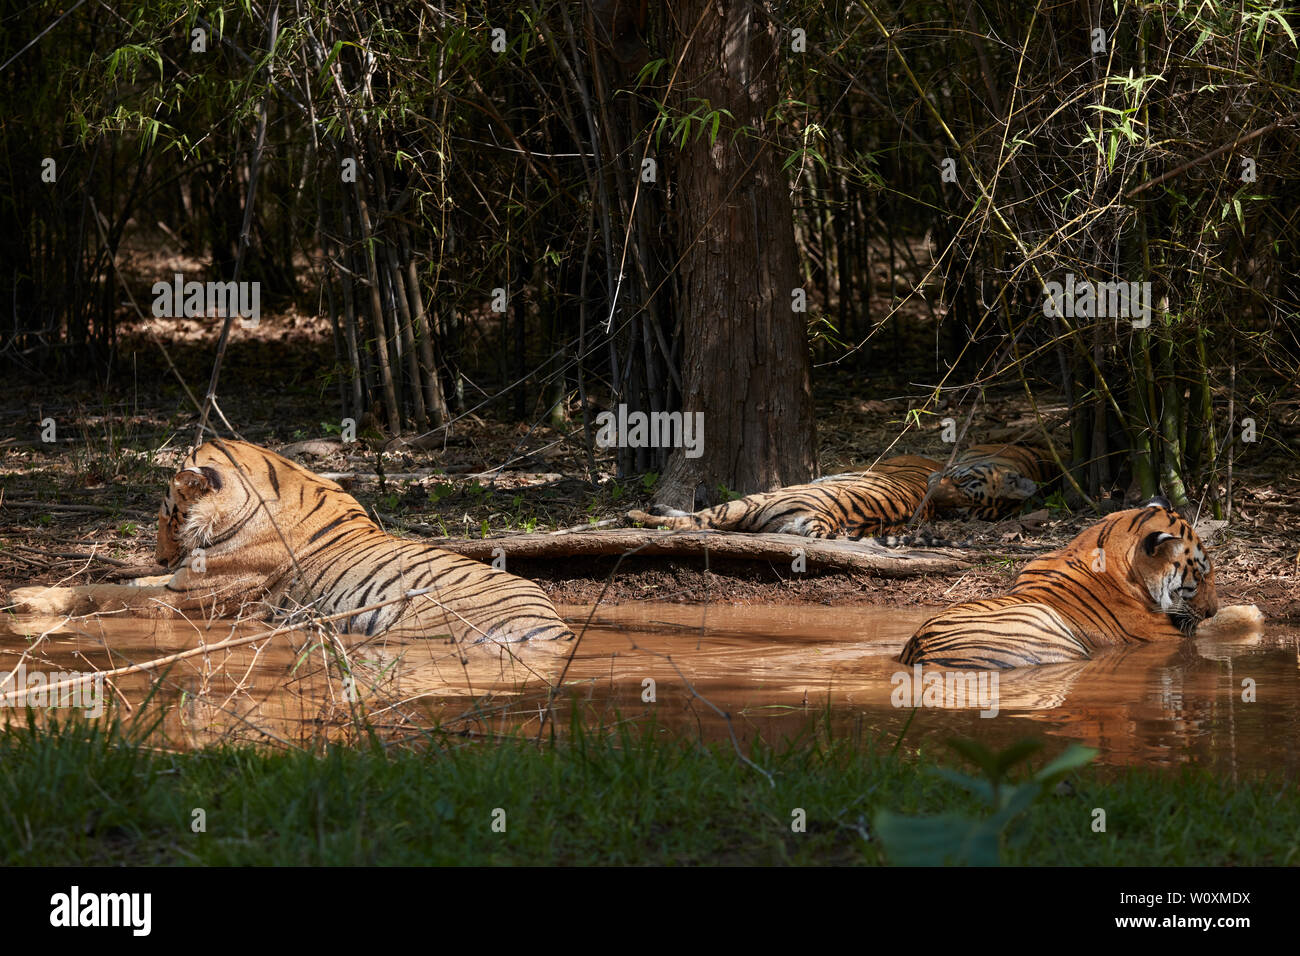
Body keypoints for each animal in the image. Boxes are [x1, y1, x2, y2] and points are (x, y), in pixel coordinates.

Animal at [10, 439, 575, 648]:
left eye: (170, 515)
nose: (162, 555)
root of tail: (555, 624)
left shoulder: (185, 598)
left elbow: (104, 594)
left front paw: (25, 597)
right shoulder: (178, 584)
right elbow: (116, 584)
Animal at [898, 498, 1262, 669]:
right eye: (1199, 576)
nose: (1211, 607)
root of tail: (921, 652)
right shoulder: (1166, 635)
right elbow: (1213, 627)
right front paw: (1252, 613)